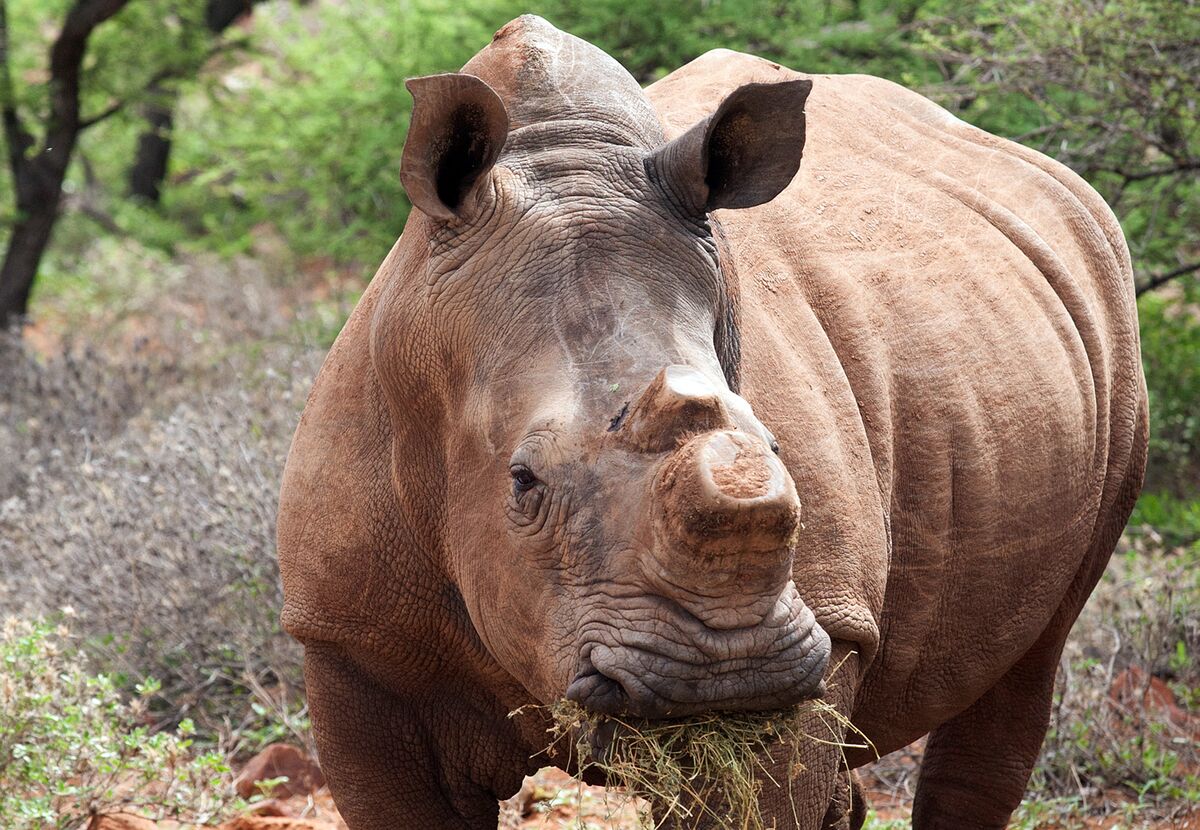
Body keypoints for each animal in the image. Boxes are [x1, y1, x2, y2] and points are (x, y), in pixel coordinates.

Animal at [277, 15, 1148, 830]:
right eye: (522, 482)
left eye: (775, 446)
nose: (728, 670)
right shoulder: (351, 641)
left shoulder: (825, 637)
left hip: (1111, 304)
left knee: (1030, 661)